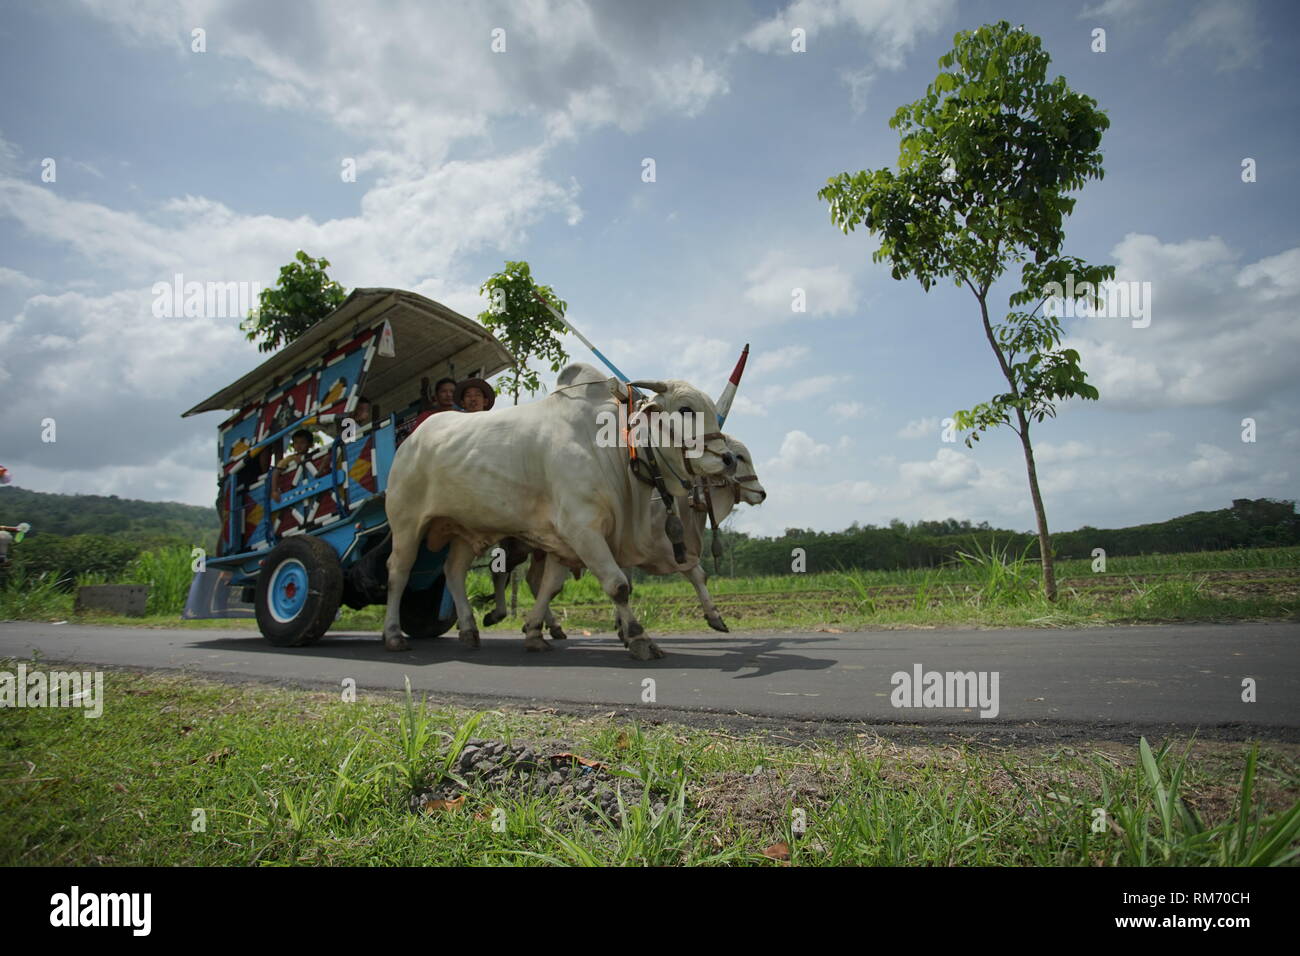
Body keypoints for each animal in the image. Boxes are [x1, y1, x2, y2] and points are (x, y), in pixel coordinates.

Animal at [381, 362, 735, 660]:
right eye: (686, 409)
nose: (728, 459)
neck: (612, 447)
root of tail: (411, 440)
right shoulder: (582, 529)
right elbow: (618, 585)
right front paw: (639, 639)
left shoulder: (563, 541)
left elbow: (549, 587)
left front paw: (535, 634)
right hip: (406, 524)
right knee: (398, 572)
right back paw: (393, 635)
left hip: (467, 530)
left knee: (453, 571)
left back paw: (469, 630)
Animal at [485, 435, 766, 637]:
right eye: (739, 456)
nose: (761, 493)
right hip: (515, 545)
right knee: (500, 573)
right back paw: (497, 614)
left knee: (531, 580)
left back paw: (549, 626)